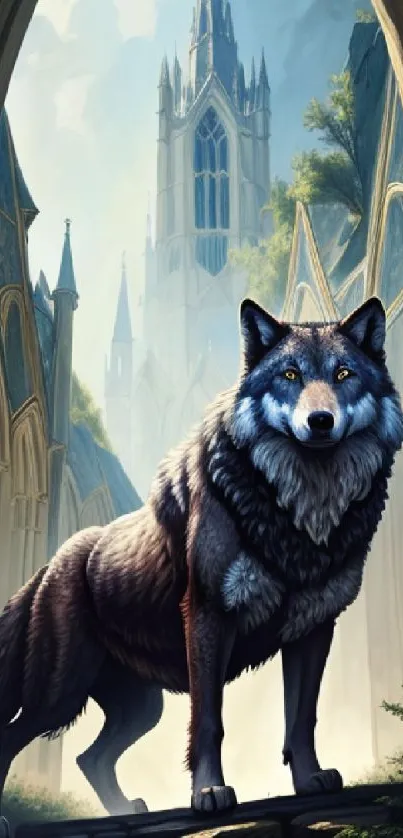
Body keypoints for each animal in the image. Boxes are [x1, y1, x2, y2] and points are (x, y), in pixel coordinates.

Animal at [0, 296, 401, 817]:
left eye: (344, 373)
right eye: (290, 375)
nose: (320, 421)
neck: (297, 511)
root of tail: (47, 566)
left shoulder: (314, 628)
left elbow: (302, 717)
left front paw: (310, 780)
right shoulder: (210, 617)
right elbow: (209, 720)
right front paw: (209, 793)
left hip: (140, 708)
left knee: (91, 757)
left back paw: (127, 808)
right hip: (59, 694)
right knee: (14, 738)